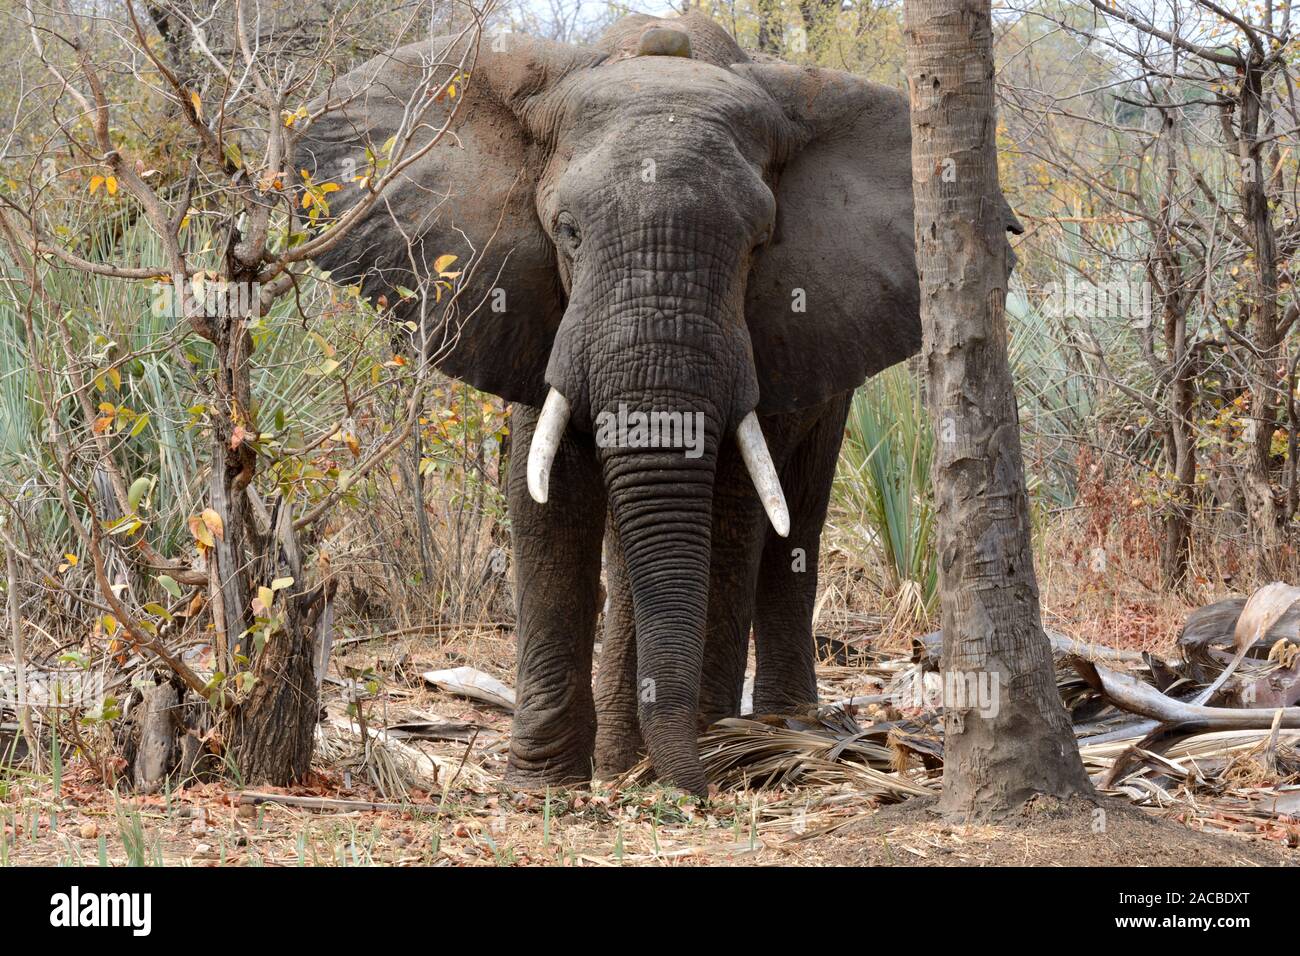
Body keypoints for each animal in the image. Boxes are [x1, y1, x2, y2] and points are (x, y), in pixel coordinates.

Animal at [300, 12, 1021, 796]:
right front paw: (545, 785)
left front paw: (706, 758)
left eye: (758, 244)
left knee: (795, 519)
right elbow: (547, 501)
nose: (695, 785)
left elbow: (731, 510)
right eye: (567, 231)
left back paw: (779, 734)